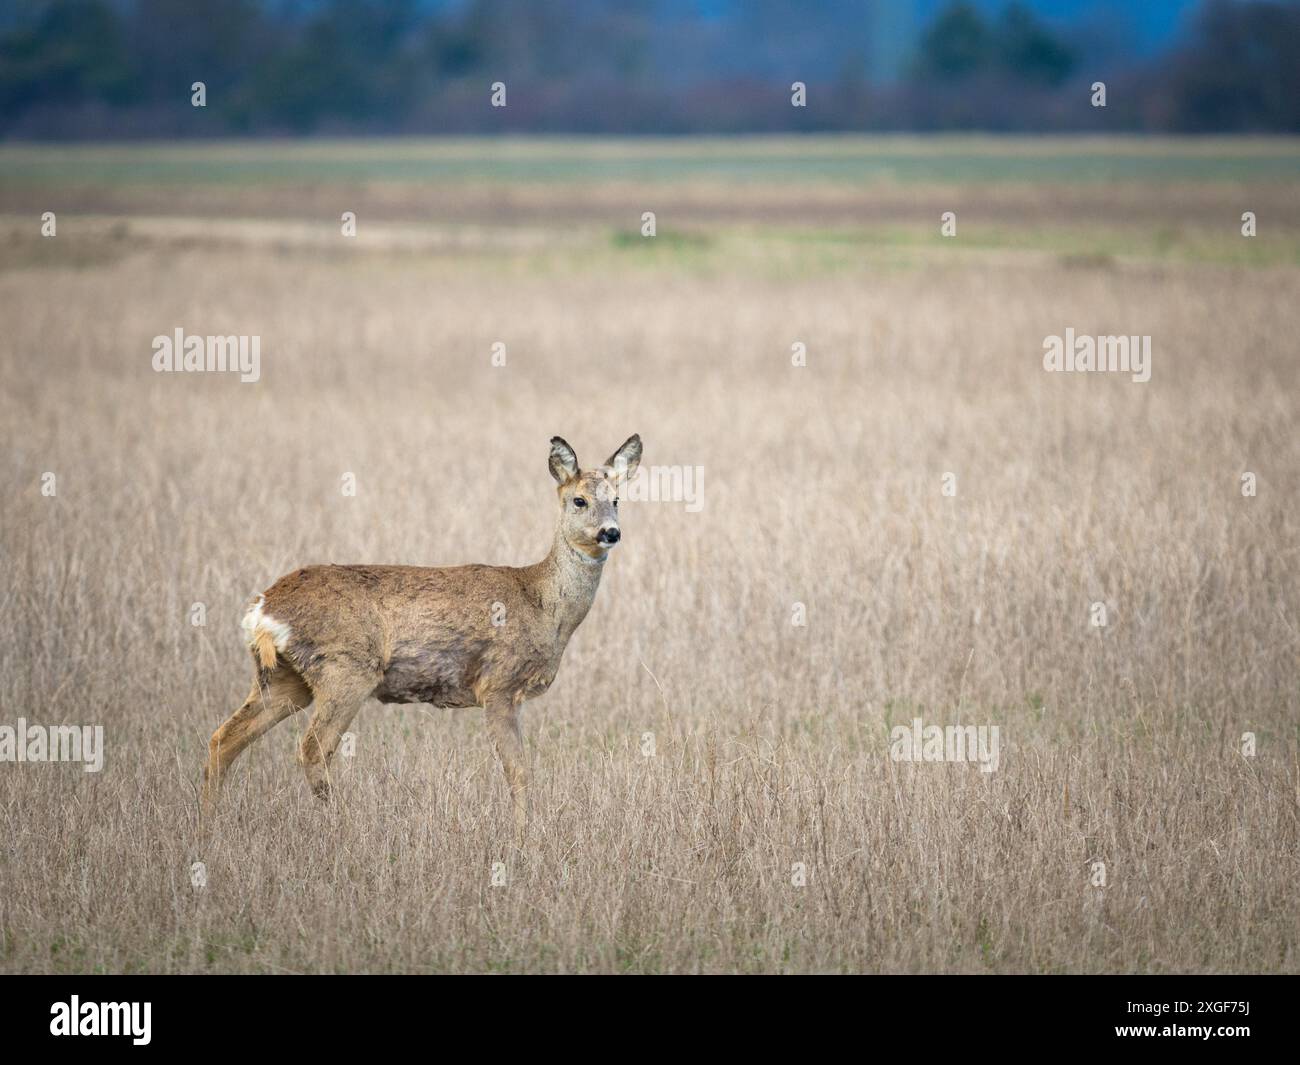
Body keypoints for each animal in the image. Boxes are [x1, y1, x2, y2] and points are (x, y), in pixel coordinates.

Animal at [200, 433, 642, 845]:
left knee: (223, 738)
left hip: (284, 678)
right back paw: (344, 828)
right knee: (312, 747)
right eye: (579, 500)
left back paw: (211, 823)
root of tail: (262, 609)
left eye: (617, 499)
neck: (542, 603)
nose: (611, 532)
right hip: (346, 669)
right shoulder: (498, 684)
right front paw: (524, 839)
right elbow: (518, 770)